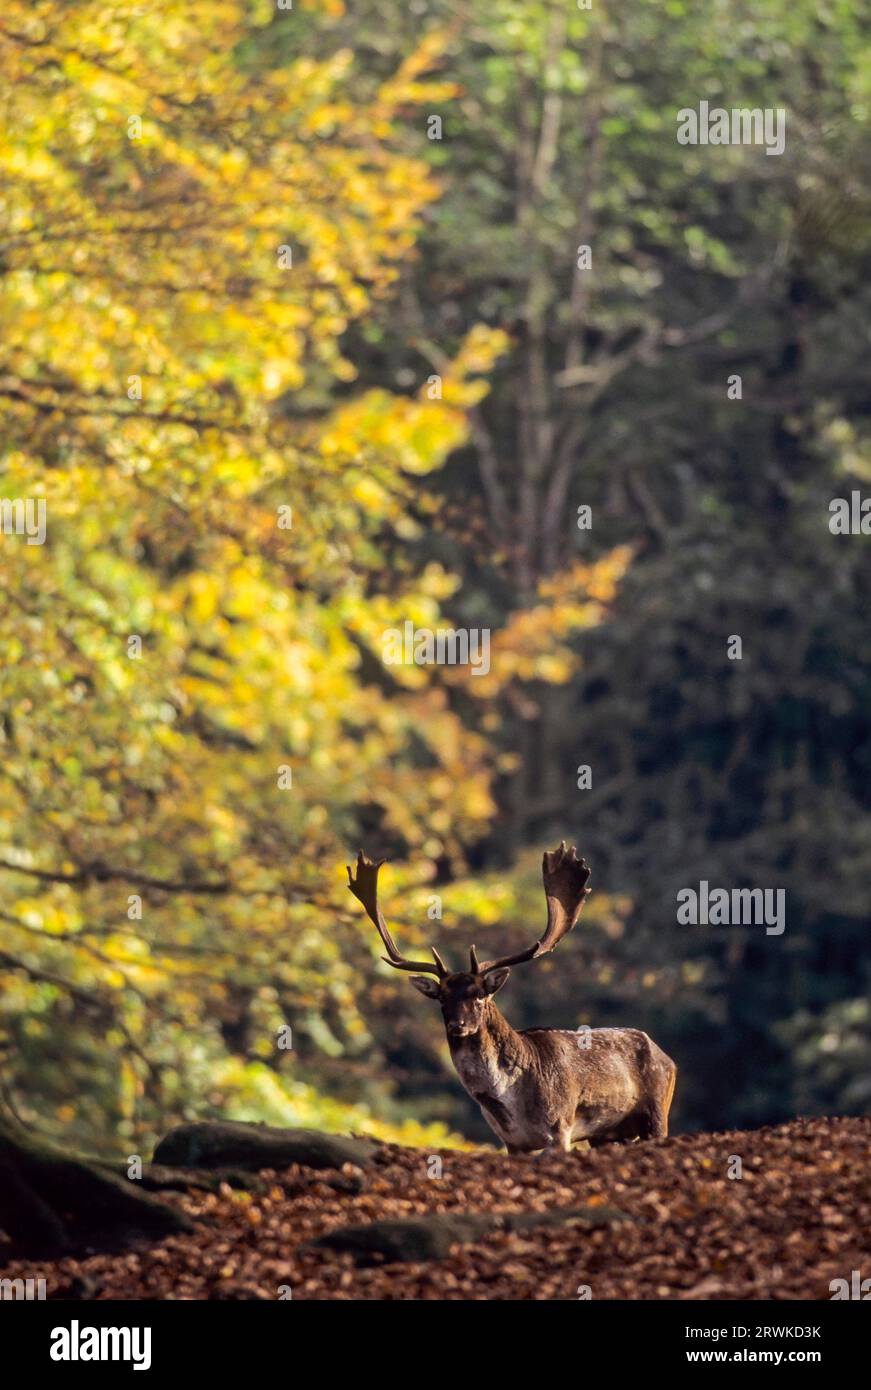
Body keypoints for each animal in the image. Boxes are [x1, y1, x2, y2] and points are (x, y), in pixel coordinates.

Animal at [347, 843, 676, 1154]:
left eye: (481, 995)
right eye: (441, 998)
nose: (458, 1025)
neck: (511, 1106)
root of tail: (667, 1057)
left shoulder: (560, 1127)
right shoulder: (512, 1142)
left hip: (657, 1113)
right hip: (607, 1135)